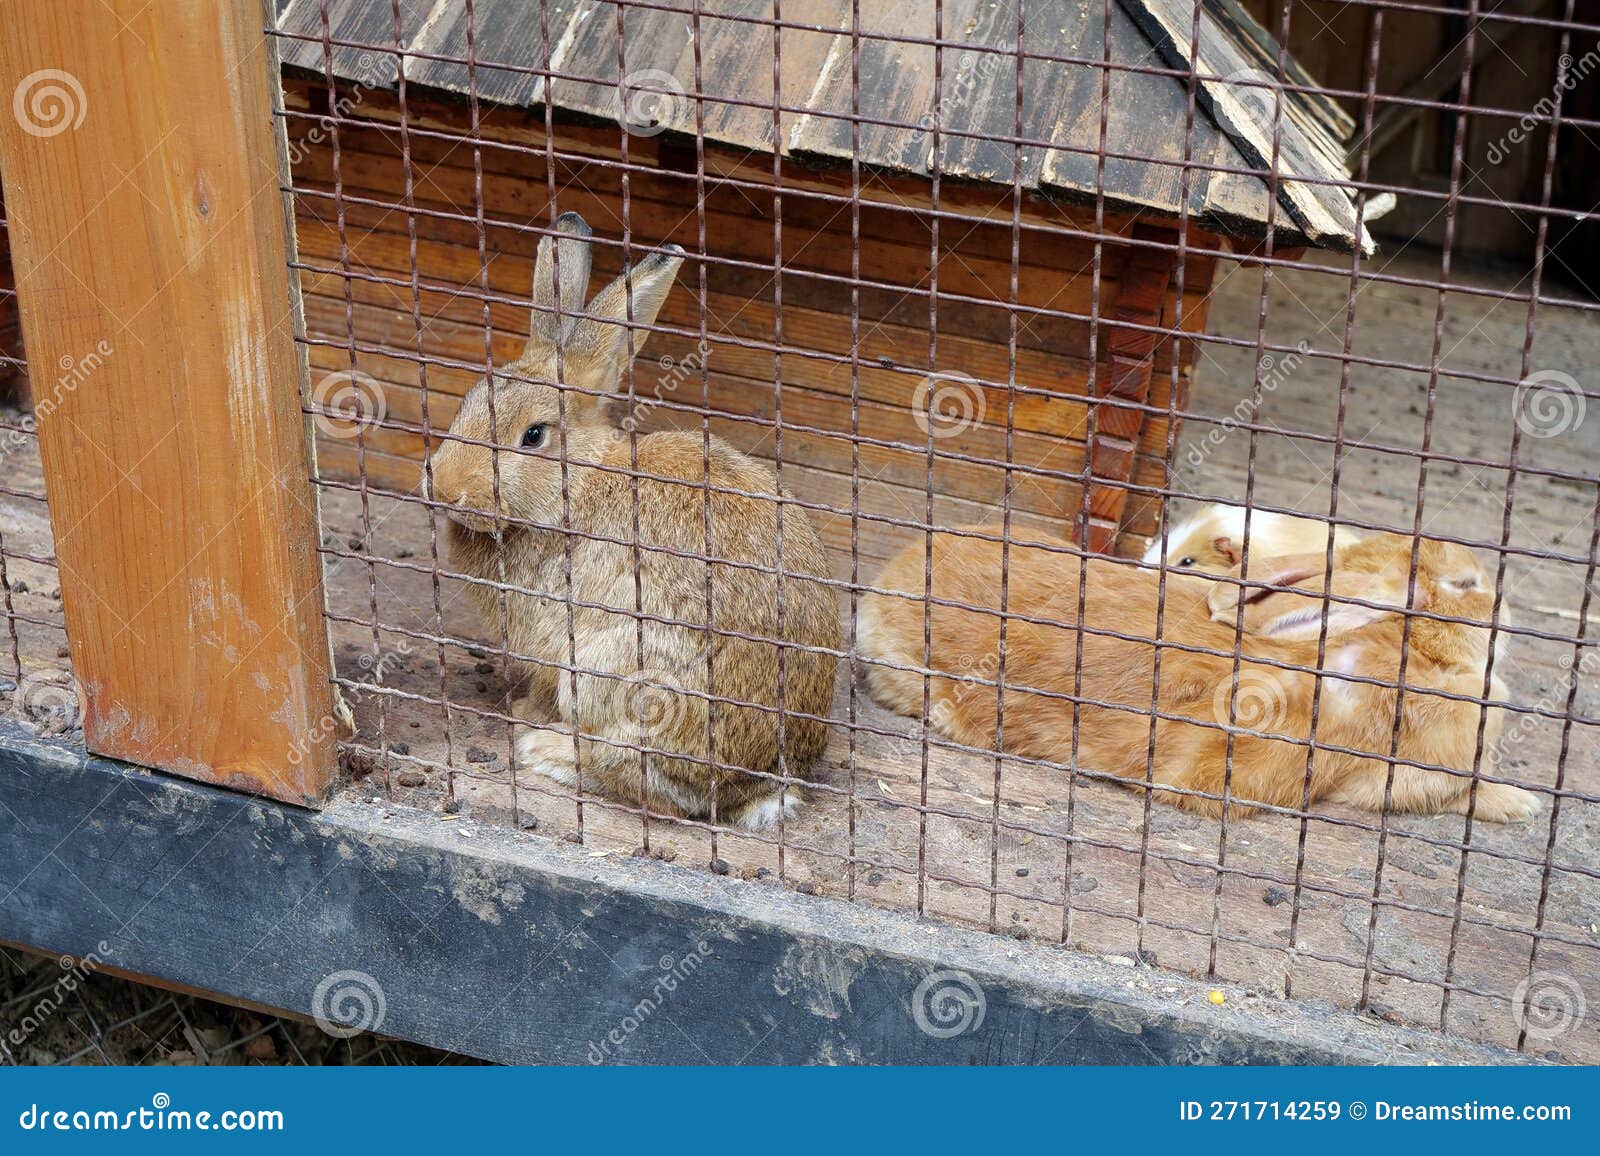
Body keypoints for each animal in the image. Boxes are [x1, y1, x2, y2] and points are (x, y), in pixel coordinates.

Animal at [425, 212, 840, 829]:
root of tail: (756, 784)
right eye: (468, 402)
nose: (444, 487)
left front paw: (528, 713)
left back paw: (547, 750)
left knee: (644, 783)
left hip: (614, 670)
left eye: (533, 436)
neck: (576, 486)